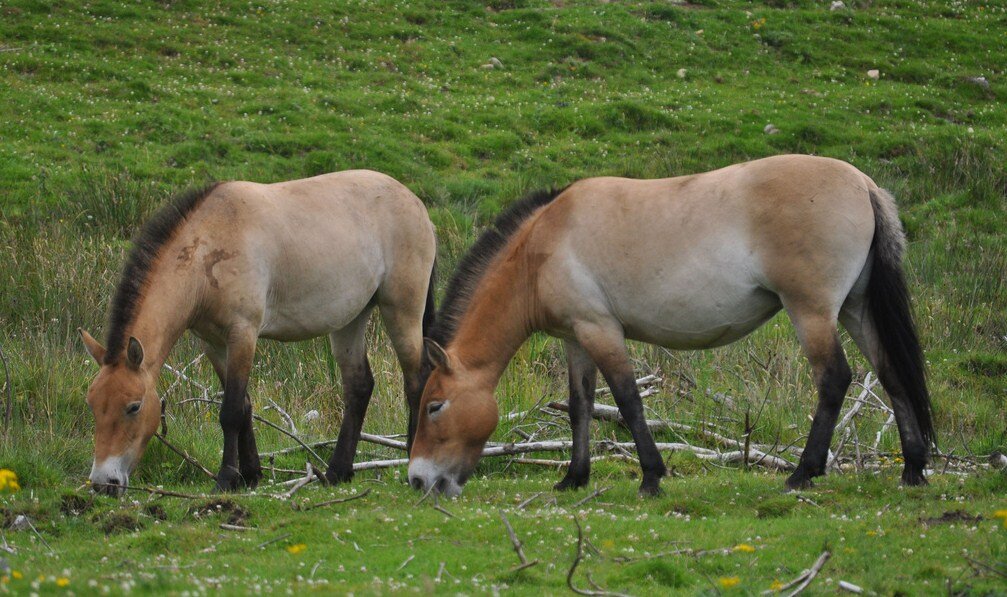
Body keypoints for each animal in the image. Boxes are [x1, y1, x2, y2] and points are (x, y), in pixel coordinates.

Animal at [80, 169, 435, 493]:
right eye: (93, 405)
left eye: (133, 407)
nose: (103, 483)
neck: (209, 248)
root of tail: (415, 202)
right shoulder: (213, 343)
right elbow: (244, 405)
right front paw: (250, 474)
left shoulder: (243, 334)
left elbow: (230, 411)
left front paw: (226, 478)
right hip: (350, 320)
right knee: (359, 387)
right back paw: (337, 472)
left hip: (401, 310)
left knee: (416, 380)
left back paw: (412, 460)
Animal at [408, 152, 934, 493]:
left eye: (434, 406)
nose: (418, 479)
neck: (545, 245)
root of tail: (864, 184)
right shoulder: (575, 339)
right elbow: (580, 407)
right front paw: (574, 478)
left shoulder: (600, 331)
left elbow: (627, 400)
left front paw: (651, 477)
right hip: (855, 308)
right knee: (890, 373)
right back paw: (912, 469)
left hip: (813, 312)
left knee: (834, 379)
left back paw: (803, 473)